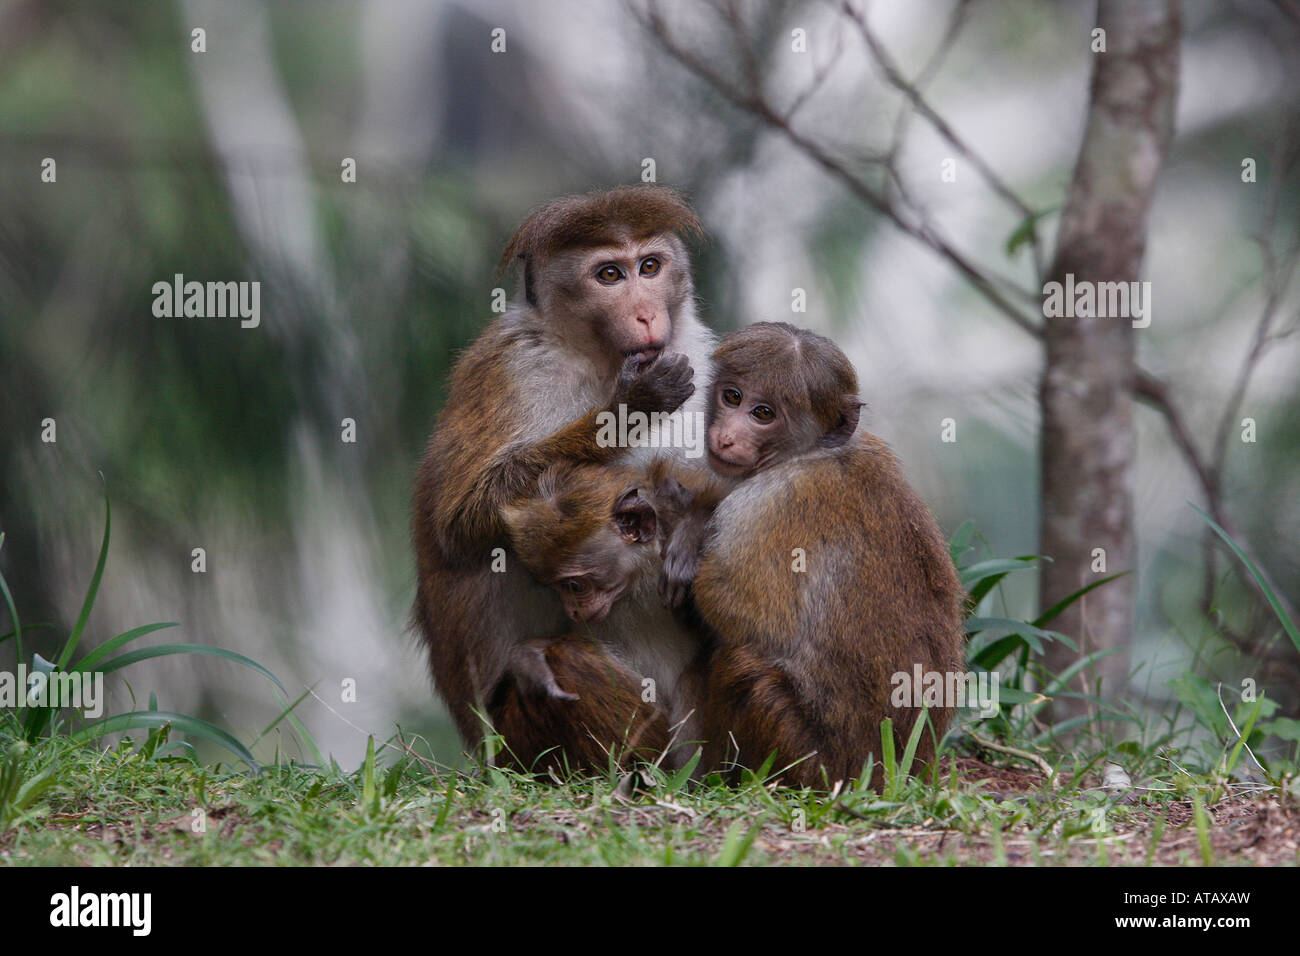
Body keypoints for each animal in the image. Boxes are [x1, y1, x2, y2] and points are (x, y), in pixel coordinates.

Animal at [411, 186, 717, 773]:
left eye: (649, 267)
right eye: (609, 275)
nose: (646, 315)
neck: (598, 358)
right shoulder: (511, 366)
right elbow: (463, 518)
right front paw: (629, 407)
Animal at [657, 321, 967, 789]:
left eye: (763, 414)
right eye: (733, 396)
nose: (727, 436)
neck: (809, 453)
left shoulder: (765, 508)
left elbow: (746, 617)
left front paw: (692, 532)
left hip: (809, 759)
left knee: (743, 665)